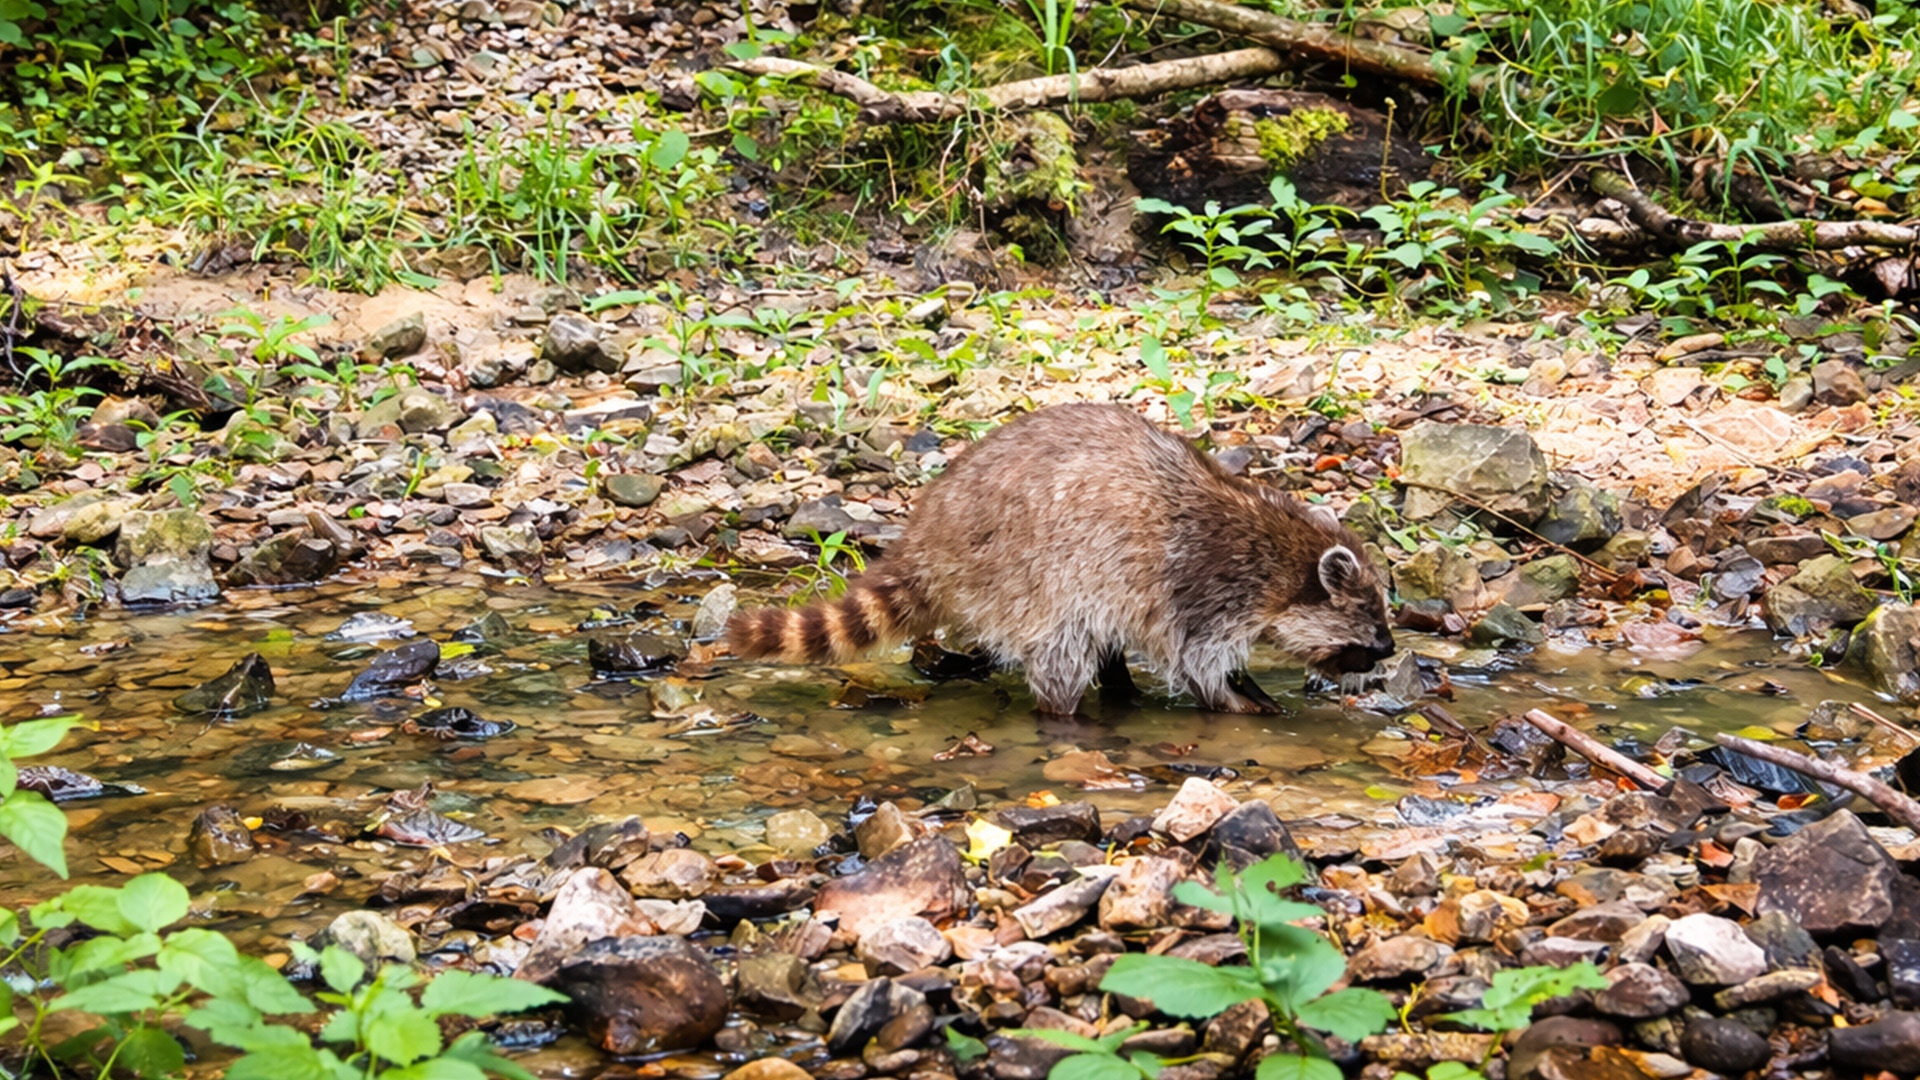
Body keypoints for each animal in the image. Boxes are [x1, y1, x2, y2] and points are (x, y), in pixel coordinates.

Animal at [727, 403, 1395, 717]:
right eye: (1369, 615)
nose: (1389, 650)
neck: (1286, 555)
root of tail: (932, 529)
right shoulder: (1208, 579)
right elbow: (1198, 659)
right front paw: (1237, 697)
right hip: (1035, 571)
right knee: (1062, 652)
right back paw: (1070, 711)